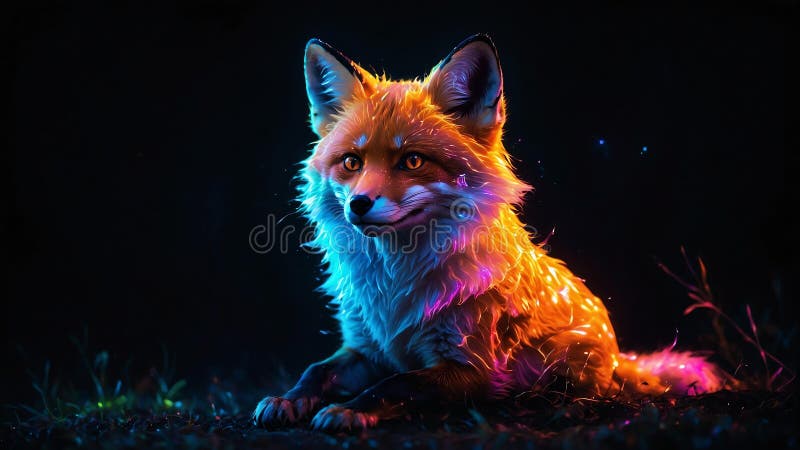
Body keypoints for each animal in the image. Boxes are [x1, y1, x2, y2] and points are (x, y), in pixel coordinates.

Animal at [253, 34, 724, 431]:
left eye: (412, 161)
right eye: (352, 162)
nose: (359, 205)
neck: (394, 289)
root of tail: (615, 347)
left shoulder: (471, 367)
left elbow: (395, 385)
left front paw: (348, 410)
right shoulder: (366, 347)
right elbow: (316, 371)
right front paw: (287, 399)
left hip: (575, 362)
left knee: (601, 395)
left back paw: (559, 405)